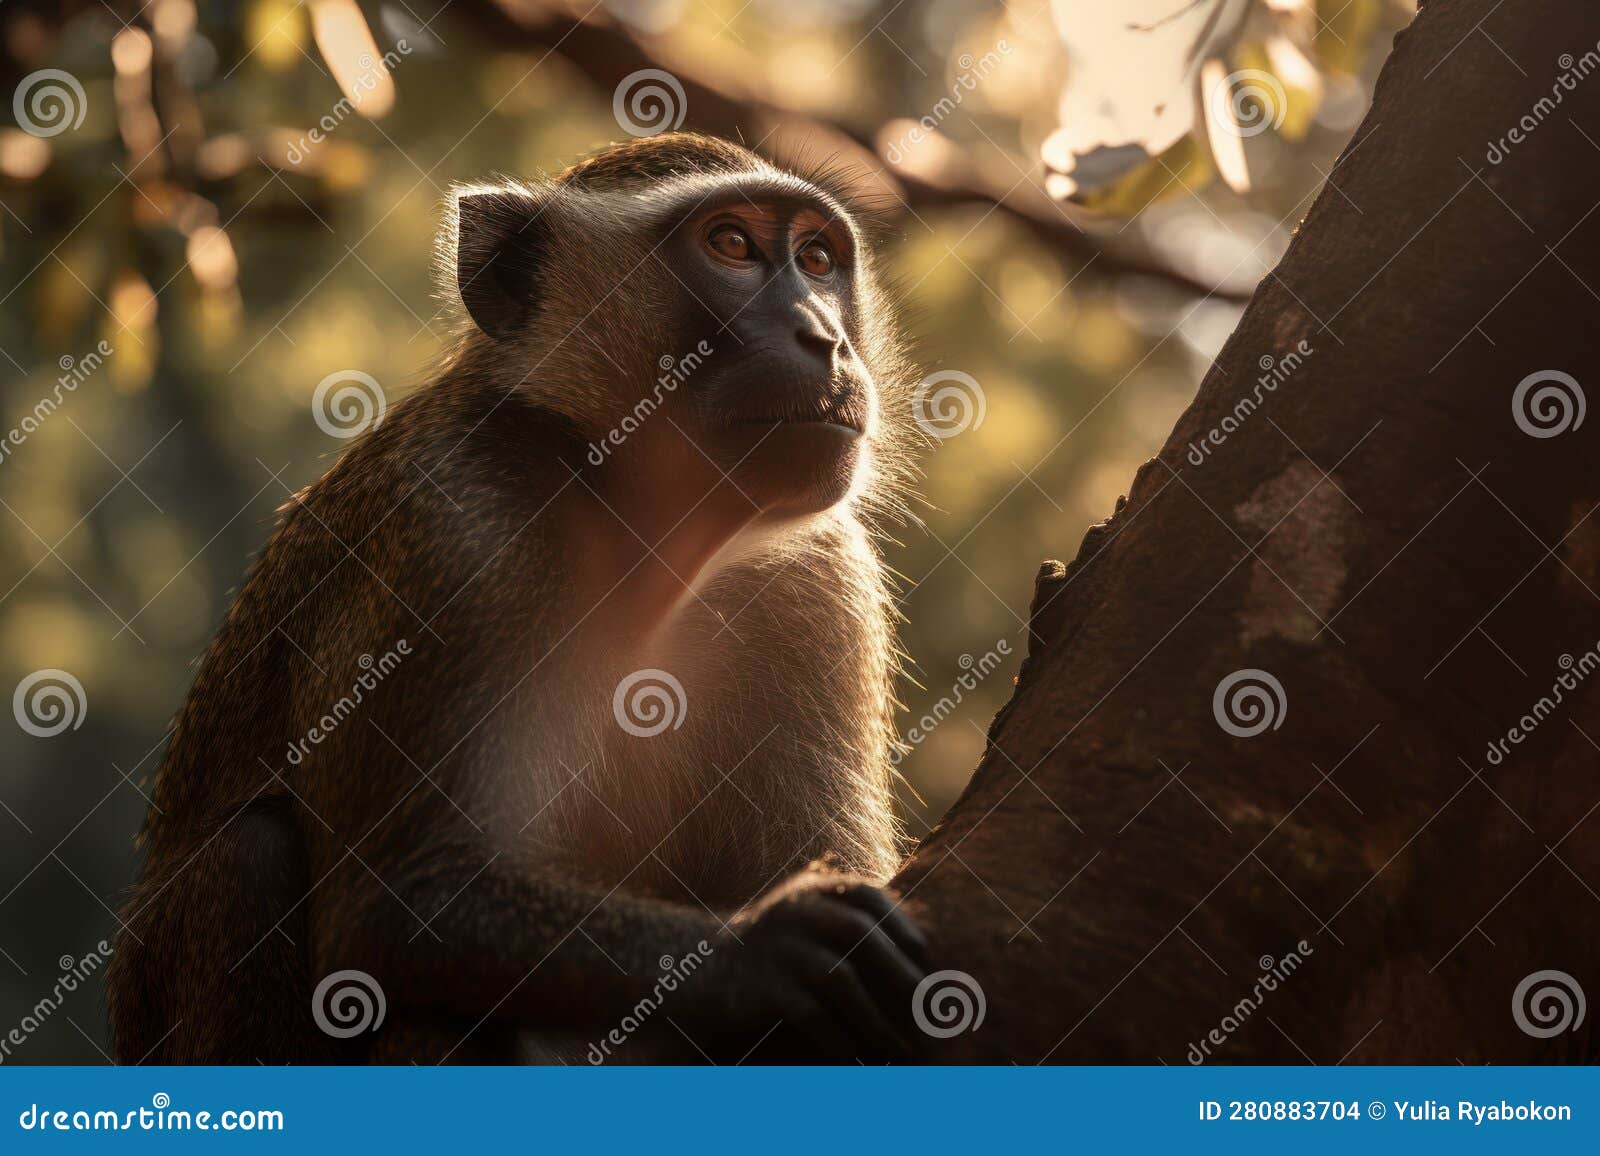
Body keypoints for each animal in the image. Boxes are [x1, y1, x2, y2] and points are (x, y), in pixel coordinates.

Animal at [106, 133, 935, 1065]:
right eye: (730, 245)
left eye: (818, 260)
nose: (824, 338)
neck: (640, 539)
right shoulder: (457, 520)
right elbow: (395, 910)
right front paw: (765, 951)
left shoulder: (818, 581)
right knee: (256, 856)